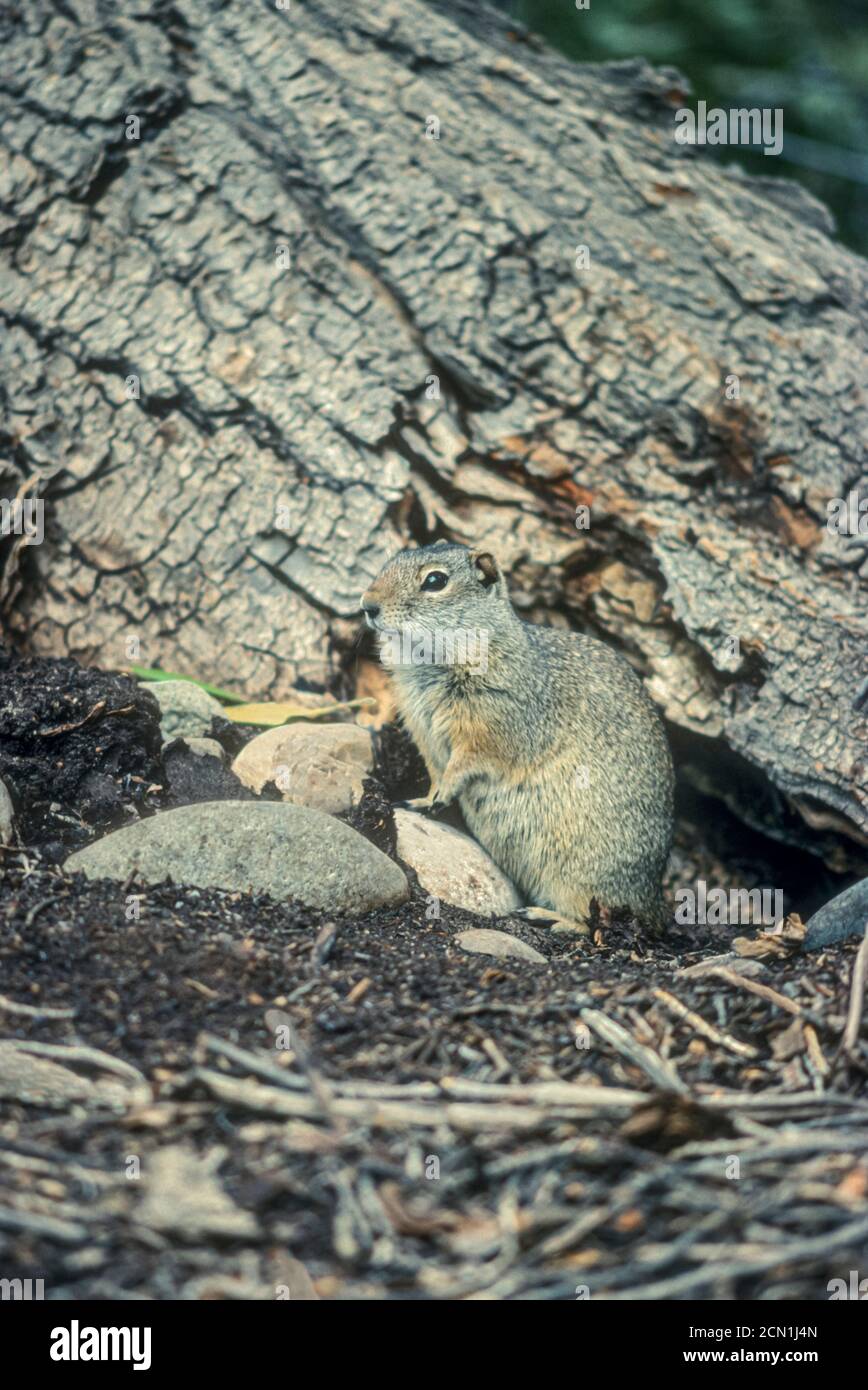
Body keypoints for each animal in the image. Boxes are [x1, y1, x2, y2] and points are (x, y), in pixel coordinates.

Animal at [360, 542, 675, 933]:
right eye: (391, 560)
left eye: (435, 581)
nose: (367, 604)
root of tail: (652, 898)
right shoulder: (424, 733)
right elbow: (435, 769)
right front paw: (423, 800)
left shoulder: (491, 729)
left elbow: (467, 761)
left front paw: (441, 795)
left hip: (576, 876)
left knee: (591, 922)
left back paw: (547, 917)